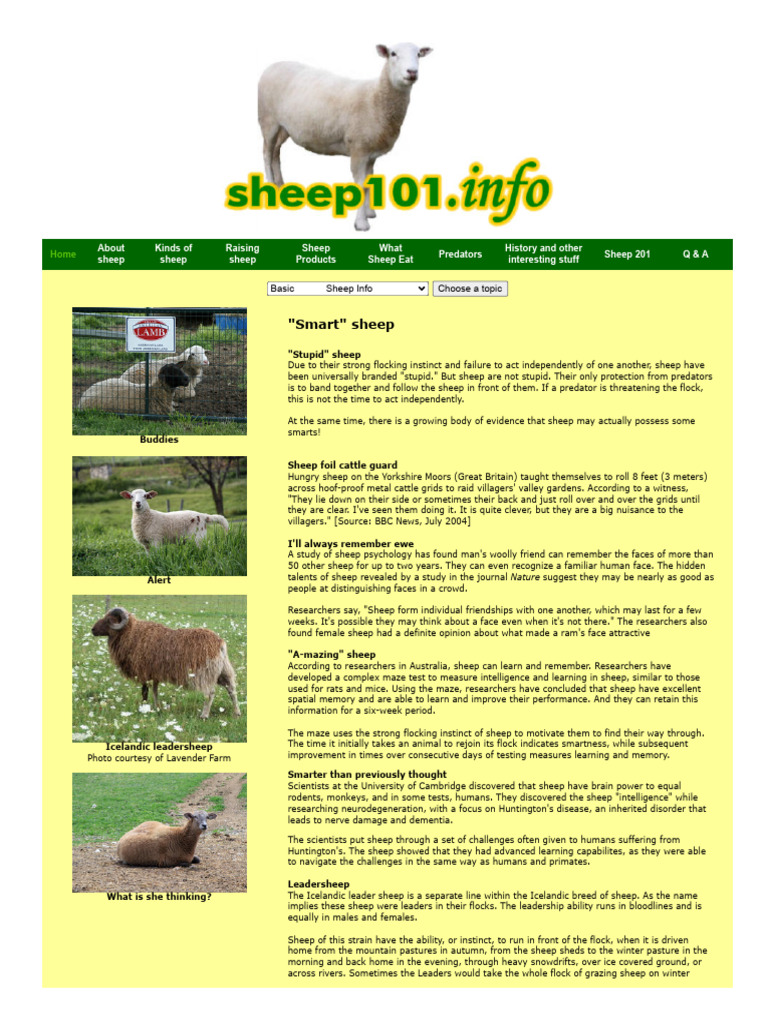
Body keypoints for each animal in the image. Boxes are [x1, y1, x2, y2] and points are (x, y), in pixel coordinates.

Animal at [91, 605, 240, 718]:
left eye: (109, 619)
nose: (92, 630)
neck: (131, 634)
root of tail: (220, 644)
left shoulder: (143, 671)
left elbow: (145, 691)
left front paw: (144, 707)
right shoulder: (154, 673)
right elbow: (155, 691)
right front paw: (157, 707)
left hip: (204, 673)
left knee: (210, 693)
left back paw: (204, 715)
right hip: (223, 671)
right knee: (231, 689)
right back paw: (237, 712)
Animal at [258, 42, 432, 231]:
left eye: (419, 54)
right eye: (393, 54)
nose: (412, 72)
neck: (376, 99)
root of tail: (272, 66)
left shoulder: (371, 152)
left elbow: (369, 184)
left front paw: (369, 212)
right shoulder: (358, 149)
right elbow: (360, 186)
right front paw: (361, 222)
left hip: (284, 127)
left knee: (276, 152)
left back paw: (280, 184)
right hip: (268, 120)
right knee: (267, 153)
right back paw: (270, 186)